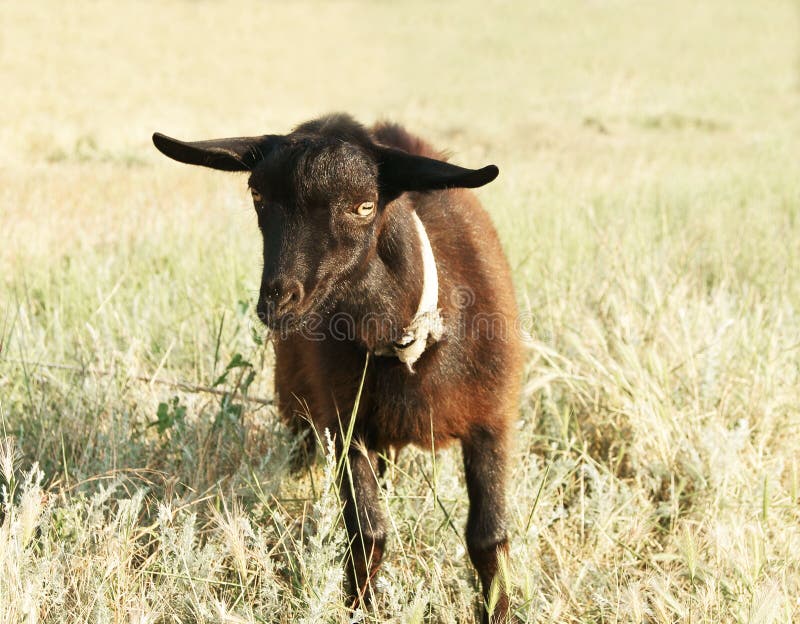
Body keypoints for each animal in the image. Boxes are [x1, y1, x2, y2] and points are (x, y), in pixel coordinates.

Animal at [153, 114, 523, 623]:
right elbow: (367, 532)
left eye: (365, 206)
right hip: (298, 401)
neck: (408, 338)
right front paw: (360, 608)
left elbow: (489, 538)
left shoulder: (492, 419)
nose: (279, 301)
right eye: (257, 194)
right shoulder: (344, 422)